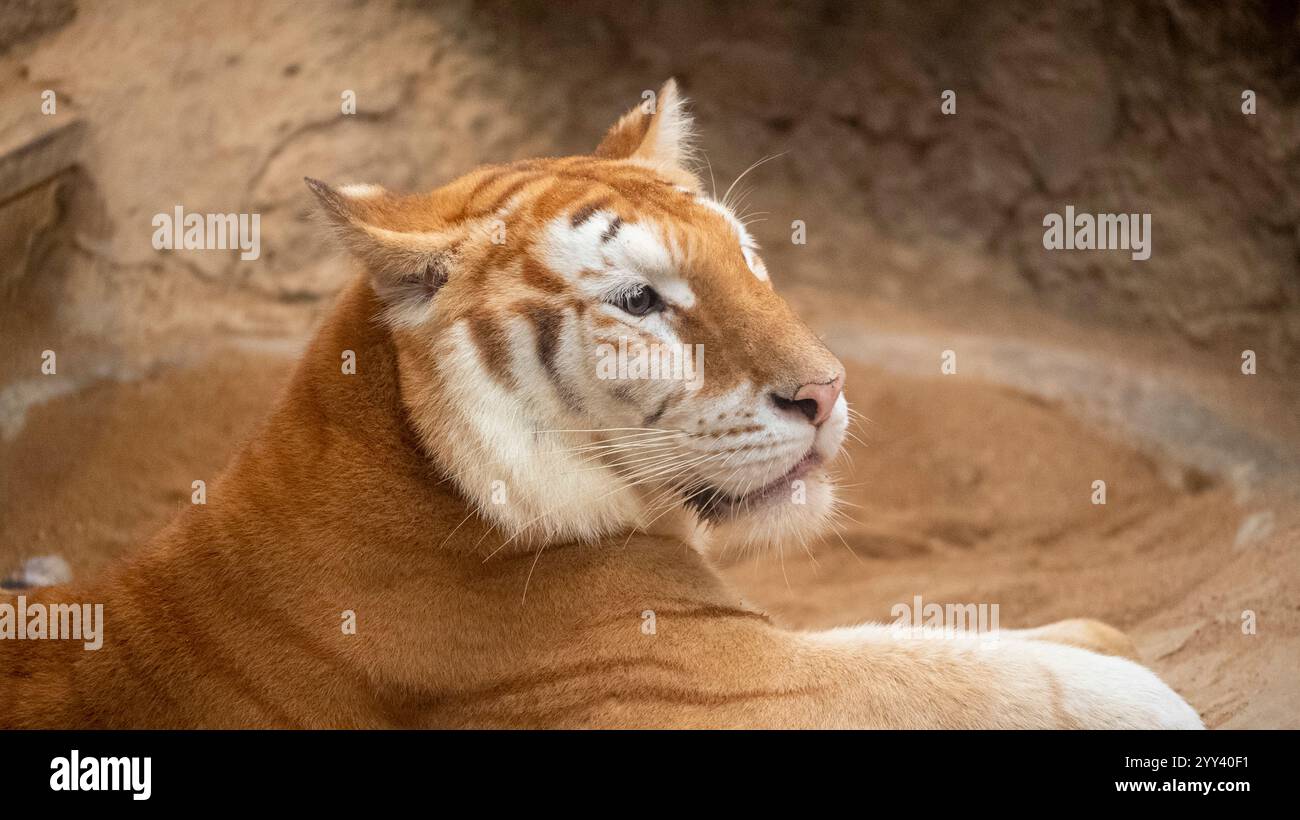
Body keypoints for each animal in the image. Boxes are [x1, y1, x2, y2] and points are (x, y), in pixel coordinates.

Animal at [0, 80, 1201, 728]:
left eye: (745, 257)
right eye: (640, 301)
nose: (826, 392)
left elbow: (950, 636)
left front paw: (1100, 630)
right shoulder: (718, 682)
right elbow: (952, 675)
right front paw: (1141, 687)